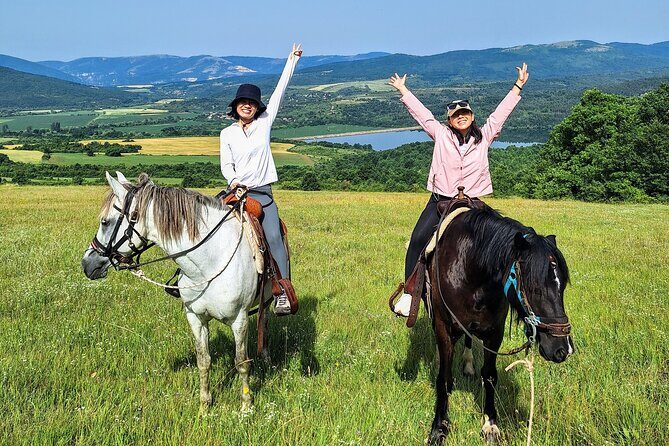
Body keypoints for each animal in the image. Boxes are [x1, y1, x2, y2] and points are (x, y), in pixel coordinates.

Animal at [81, 172, 270, 413]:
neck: (208, 262)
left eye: (105, 221)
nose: (87, 263)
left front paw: (246, 407)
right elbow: (203, 361)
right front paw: (204, 407)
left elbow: (241, 362)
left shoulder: (239, 319)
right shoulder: (195, 317)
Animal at [424, 205, 574, 445]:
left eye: (563, 287)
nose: (562, 349)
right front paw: (438, 428)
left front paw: (490, 424)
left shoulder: (494, 333)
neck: (470, 268)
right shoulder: (444, 327)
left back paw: (468, 364)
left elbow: (490, 376)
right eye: (534, 287)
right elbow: (444, 379)